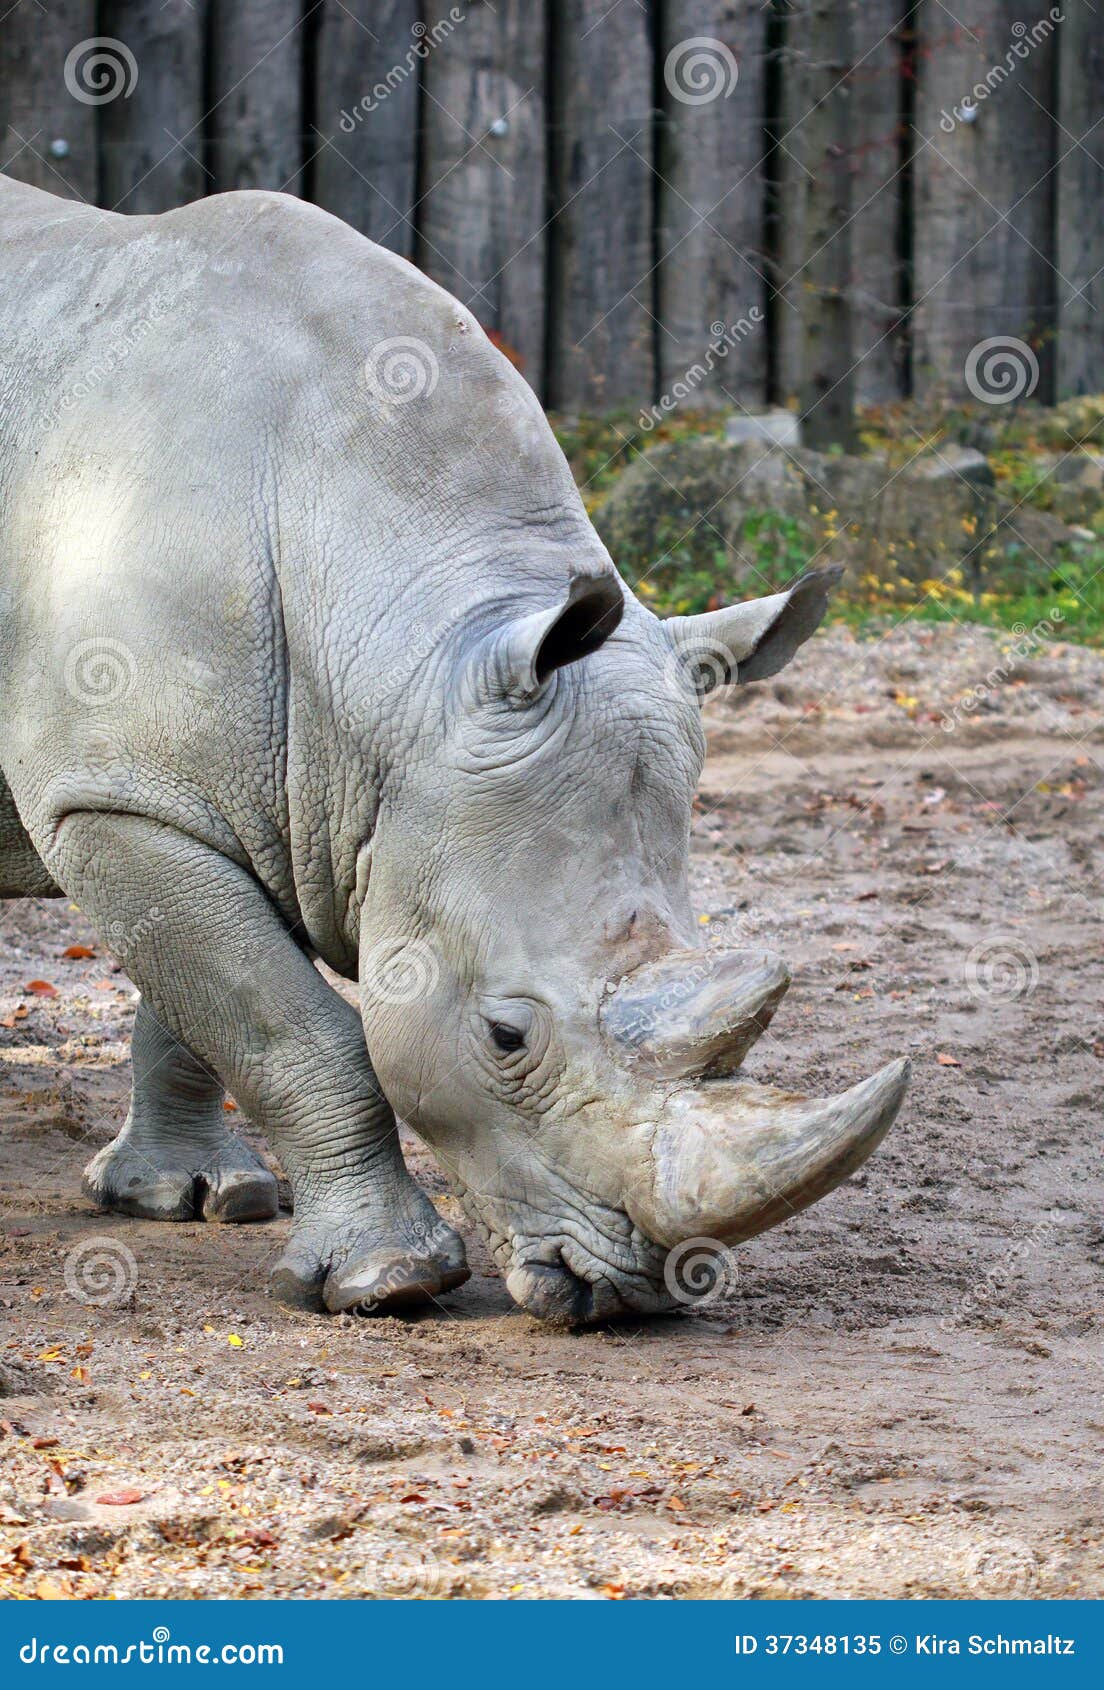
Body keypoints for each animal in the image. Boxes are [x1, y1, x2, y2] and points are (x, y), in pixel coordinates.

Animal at [0, 175, 907, 1324]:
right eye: (505, 1037)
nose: (630, 1297)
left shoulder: (258, 795)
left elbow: (204, 1010)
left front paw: (191, 1195)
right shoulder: (115, 797)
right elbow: (295, 1027)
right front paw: (387, 1284)